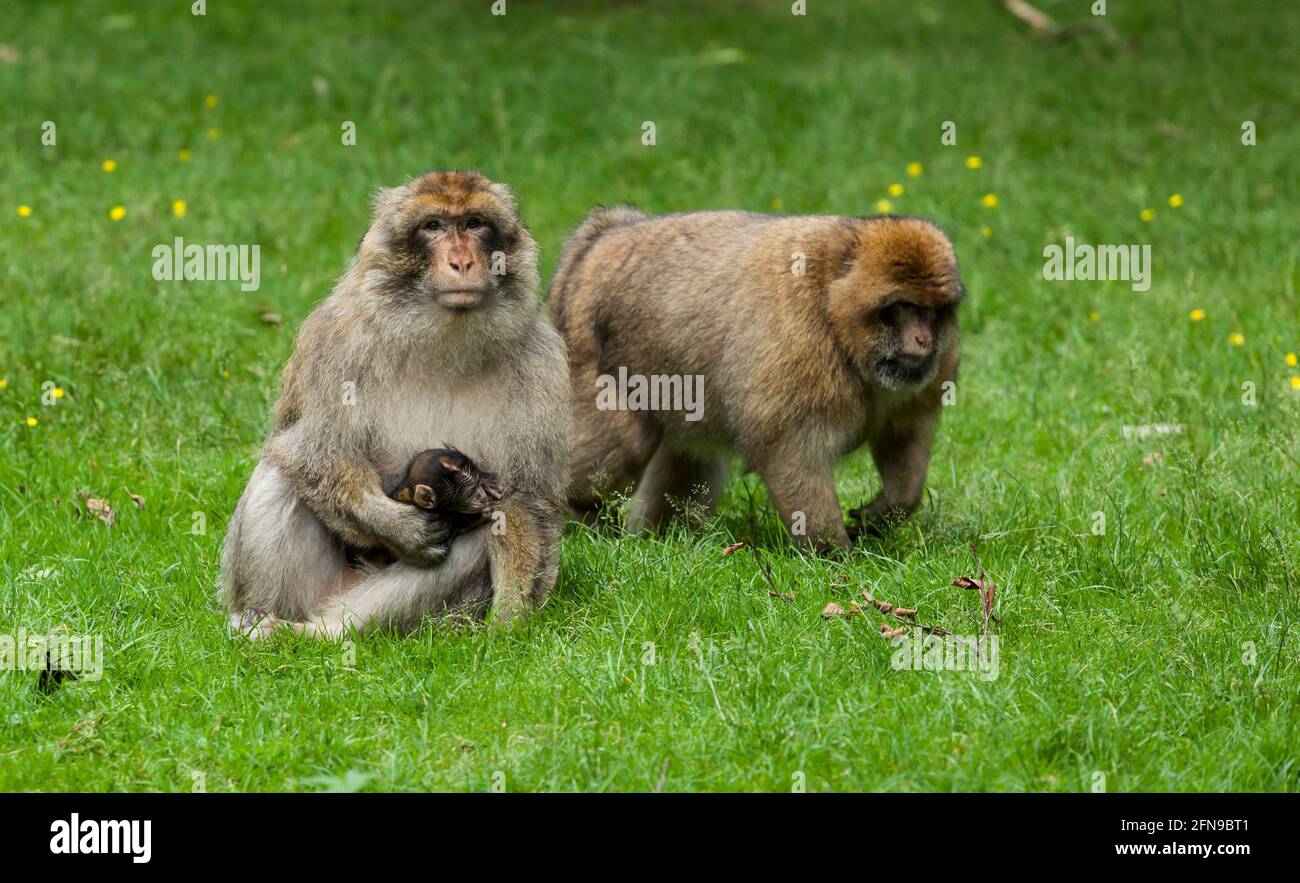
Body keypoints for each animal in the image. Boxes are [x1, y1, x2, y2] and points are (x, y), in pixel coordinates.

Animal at [220, 170, 569, 638]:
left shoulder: (540, 359)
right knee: (281, 471)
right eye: (434, 226)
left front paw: (509, 622)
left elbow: (523, 501)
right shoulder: (336, 338)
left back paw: (327, 633)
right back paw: (263, 623)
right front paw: (396, 527)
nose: (461, 262)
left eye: (474, 223)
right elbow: (312, 450)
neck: (442, 340)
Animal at [547, 208, 962, 550]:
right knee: (625, 441)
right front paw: (834, 555)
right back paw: (578, 513)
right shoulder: (798, 349)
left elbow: (904, 433)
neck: (835, 320)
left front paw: (890, 508)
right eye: (902, 308)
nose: (923, 340)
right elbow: (790, 447)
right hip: (591, 351)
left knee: (692, 455)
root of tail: (604, 235)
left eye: (933, 312)